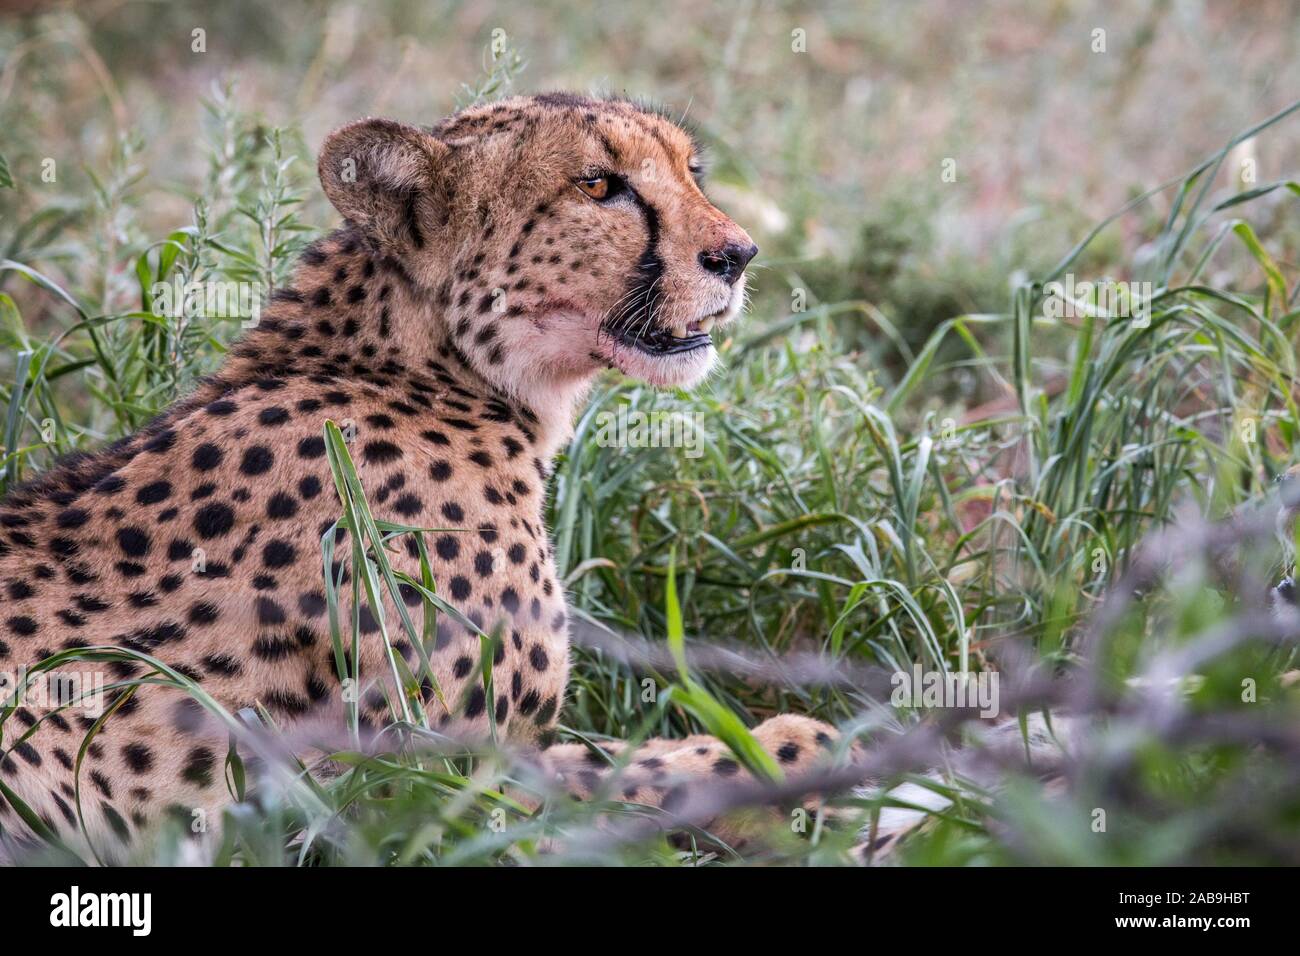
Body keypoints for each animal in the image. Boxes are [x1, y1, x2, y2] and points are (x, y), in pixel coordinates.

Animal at [0, 93, 855, 862]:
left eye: (691, 171)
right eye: (597, 184)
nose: (737, 256)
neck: (434, 370)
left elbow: (602, 754)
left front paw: (790, 743)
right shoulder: (413, 794)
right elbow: (615, 781)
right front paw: (798, 760)